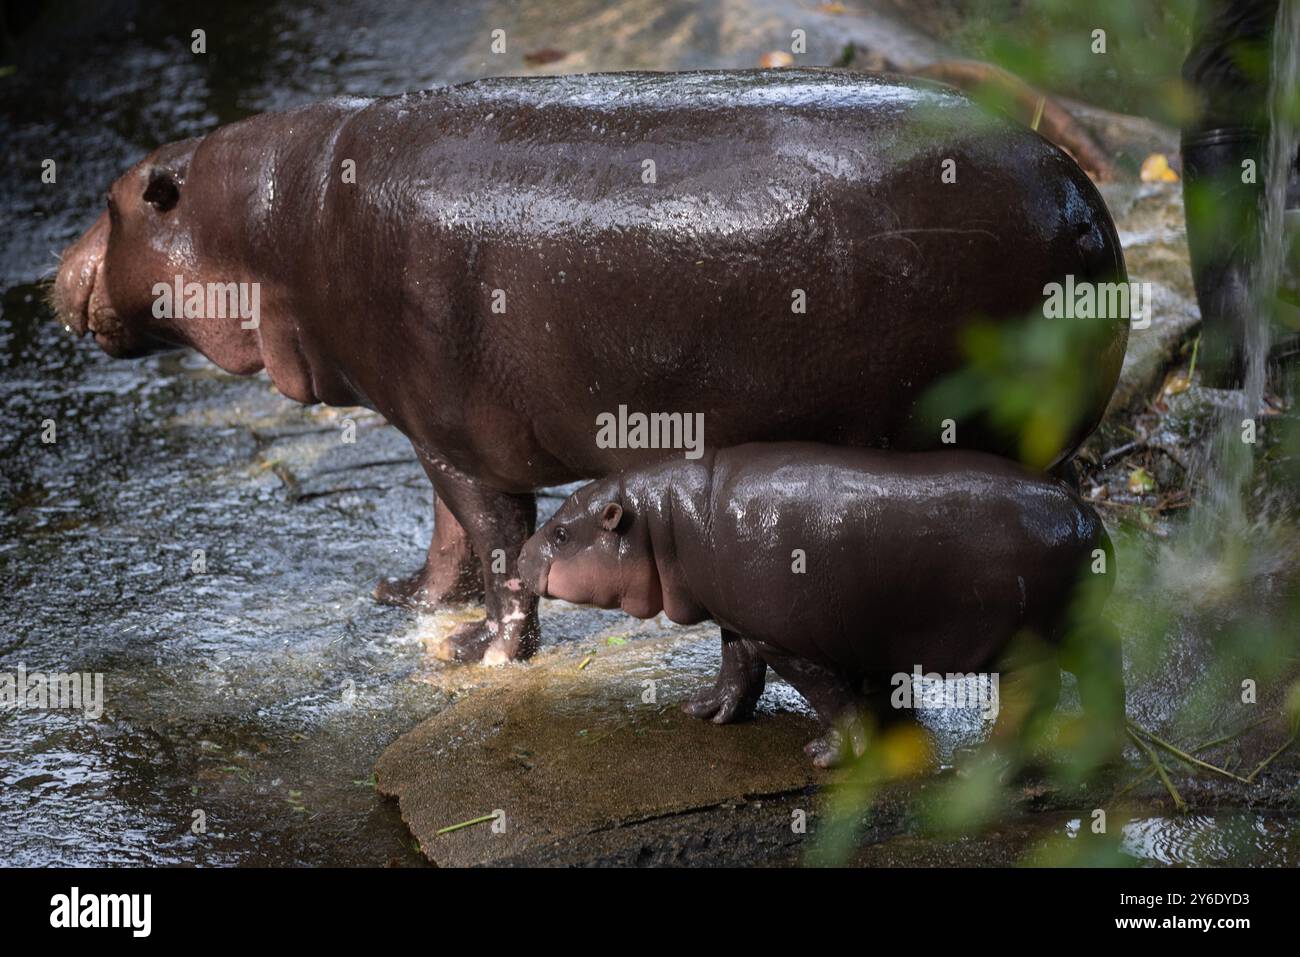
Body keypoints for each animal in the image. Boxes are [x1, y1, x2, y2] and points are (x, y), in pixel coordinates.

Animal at [52, 69, 1128, 665]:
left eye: (110, 203)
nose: (45, 281)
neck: (274, 216)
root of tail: (1081, 200)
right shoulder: (427, 431)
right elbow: (444, 540)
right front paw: (406, 605)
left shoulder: (457, 440)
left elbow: (493, 546)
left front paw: (480, 653)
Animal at [517, 443, 1122, 766]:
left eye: (562, 533)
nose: (518, 555)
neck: (667, 518)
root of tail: (1088, 516)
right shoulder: (739, 621)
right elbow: (736, 668)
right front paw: (707, 712)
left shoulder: (785, 640)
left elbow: (828, 696)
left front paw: (828, 755)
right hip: (1075, 628)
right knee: (1104, 665)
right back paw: (1101, 735)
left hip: (1027, 642)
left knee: (1033, 694)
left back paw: (988, 762)